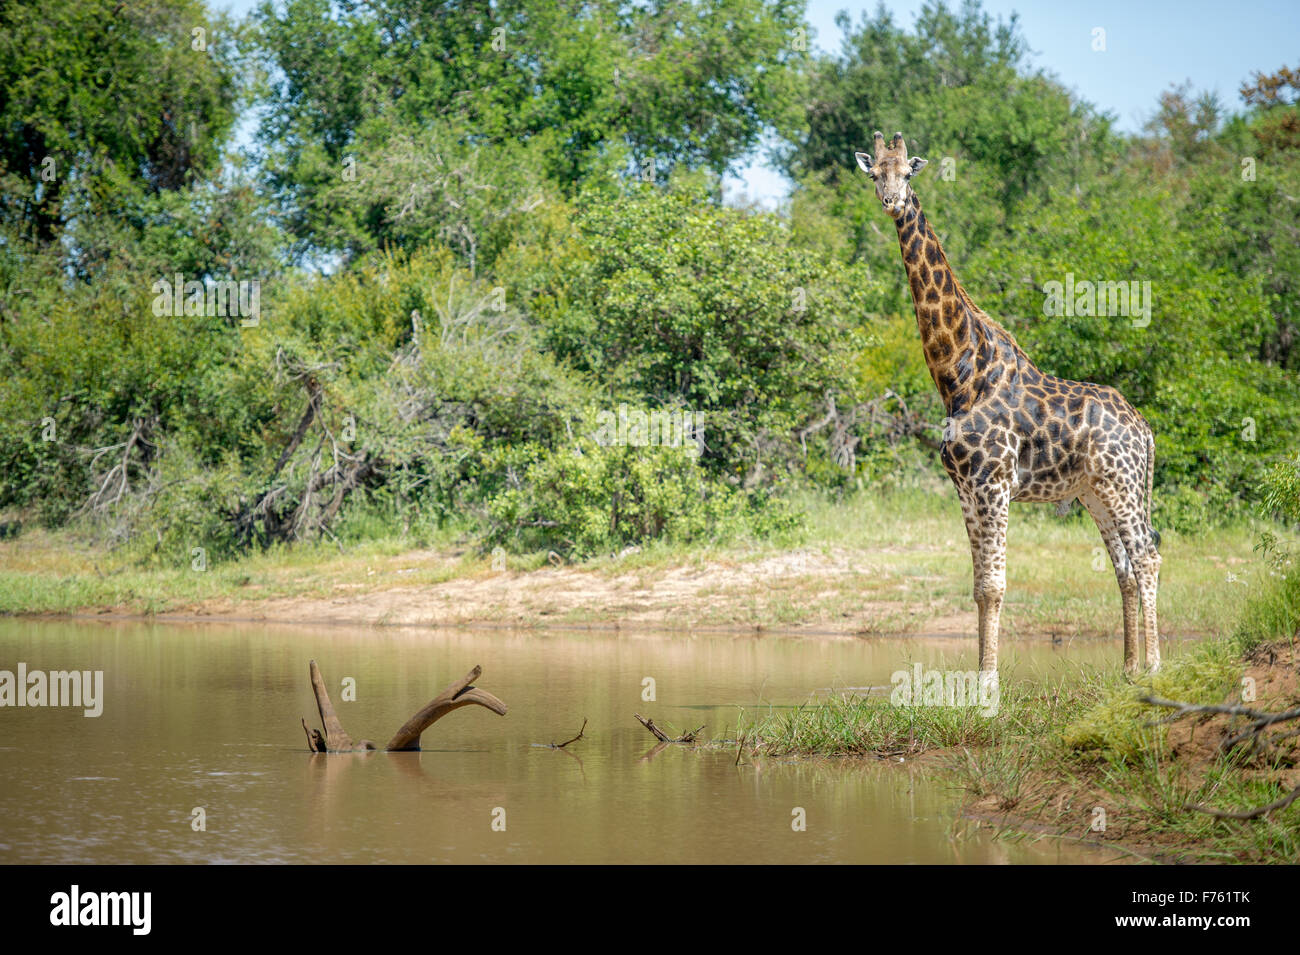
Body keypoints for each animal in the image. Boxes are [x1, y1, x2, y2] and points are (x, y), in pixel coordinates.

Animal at [856, 132, 1162, 676]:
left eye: (908, 173)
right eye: (875, 174)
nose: (891, 202)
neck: (961, 377)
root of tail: (1144, 430)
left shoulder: (994, 484)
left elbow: (996, 586)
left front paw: (989, 685)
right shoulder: (965, 489)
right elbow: (979, 587)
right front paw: (980, 678)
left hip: (1123, 484)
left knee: (1147, 557)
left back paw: (1154, 669)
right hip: (1096, 491)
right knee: (1124, 564)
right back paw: (1127, 671)